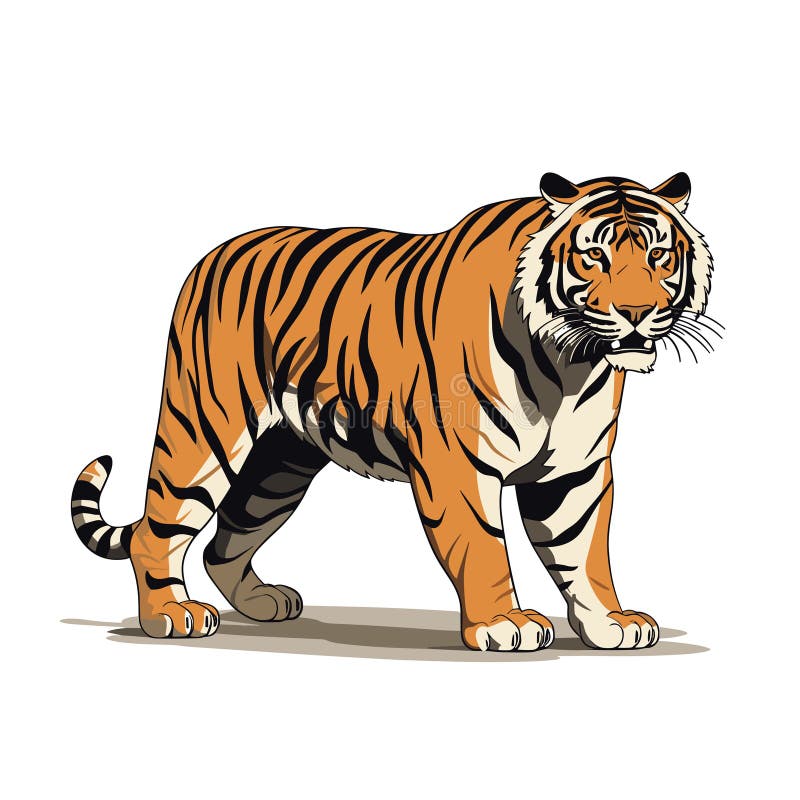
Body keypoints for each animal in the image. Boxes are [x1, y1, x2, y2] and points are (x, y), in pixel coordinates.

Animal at [70, 172, 715, 651]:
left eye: (659, 255)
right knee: (157, 530)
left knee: (225, 537)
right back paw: (171, 615)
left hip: (280, 464)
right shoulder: (459, 465)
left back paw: (263, 602)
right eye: (595, 257)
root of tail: (212, 254)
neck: (571, 365)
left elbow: (585, 550)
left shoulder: (576, 470)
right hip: (205, 430)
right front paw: (503, 624)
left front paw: (612, 624)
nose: (637, 312)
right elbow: (485, 546)